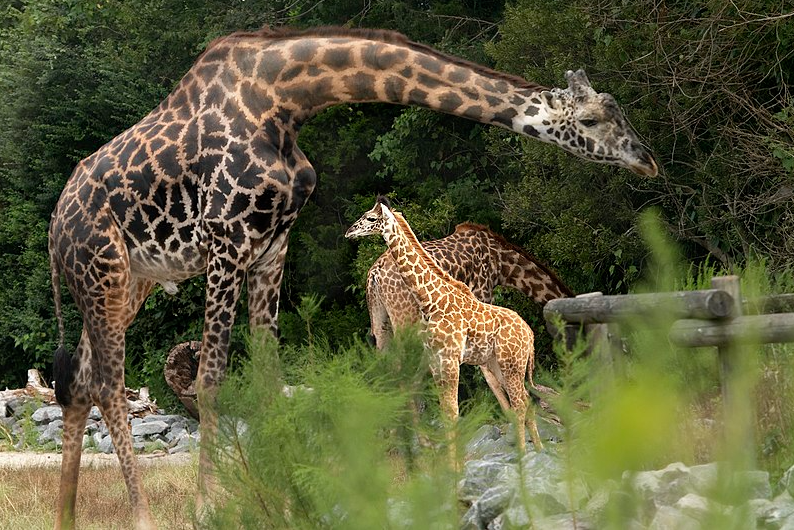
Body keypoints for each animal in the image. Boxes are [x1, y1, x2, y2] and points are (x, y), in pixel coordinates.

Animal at [345, 197, 544, 456]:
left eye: (370, 218)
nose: (349, 232)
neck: (432, 299)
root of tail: (530, 334)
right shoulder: (435, 359)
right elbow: (445, 412)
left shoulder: (450, 359)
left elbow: (452, 412)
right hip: (500, 362)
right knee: (525, 400)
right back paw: (537, 449)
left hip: (512, 363)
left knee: (520, 402)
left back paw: (523, 453)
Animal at [366, 222, 573, 411]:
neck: (504, 264)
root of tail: (375, 274)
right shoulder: (482, 297)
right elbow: (488, 371)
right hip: (404, 319)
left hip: (381, 320)